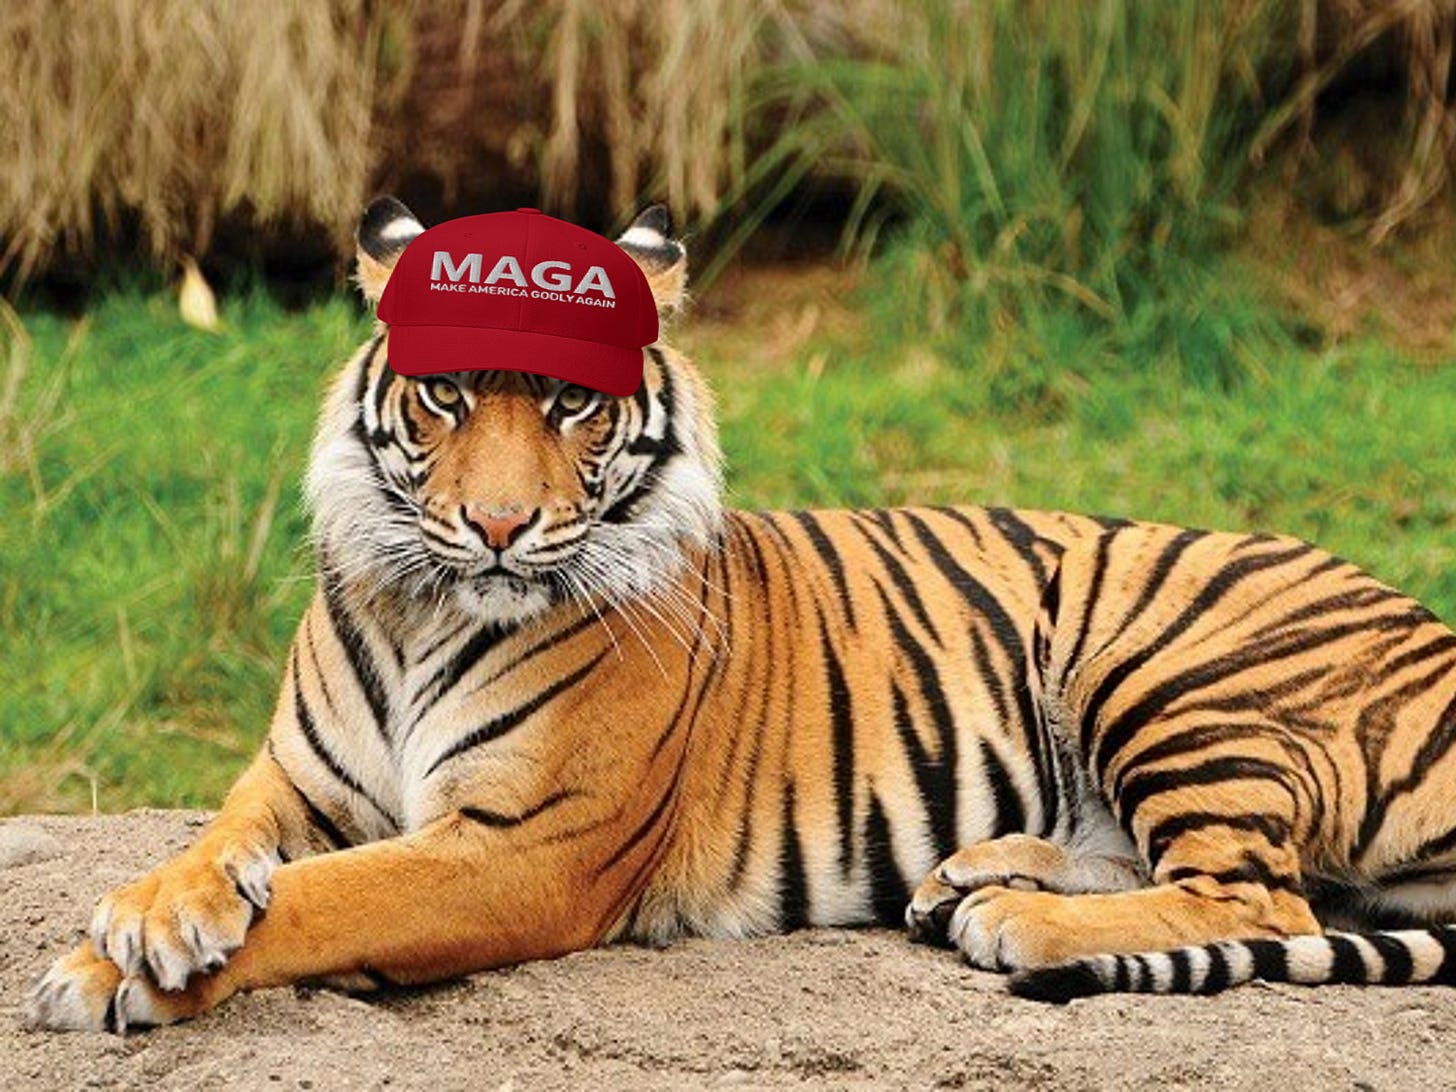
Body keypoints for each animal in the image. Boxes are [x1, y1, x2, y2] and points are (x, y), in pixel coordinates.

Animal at [26, 196, 1456, 1032]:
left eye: (569, 404)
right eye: (447, 397)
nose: (496, 526)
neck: (425, 606)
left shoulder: (519, 847)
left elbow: (329, 901)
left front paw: (105, 972)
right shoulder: (295, 781)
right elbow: (221, 845)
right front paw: (150, 915)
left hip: (1165, 664)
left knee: (1262, 897)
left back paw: (1017, 918)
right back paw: (977, 872)